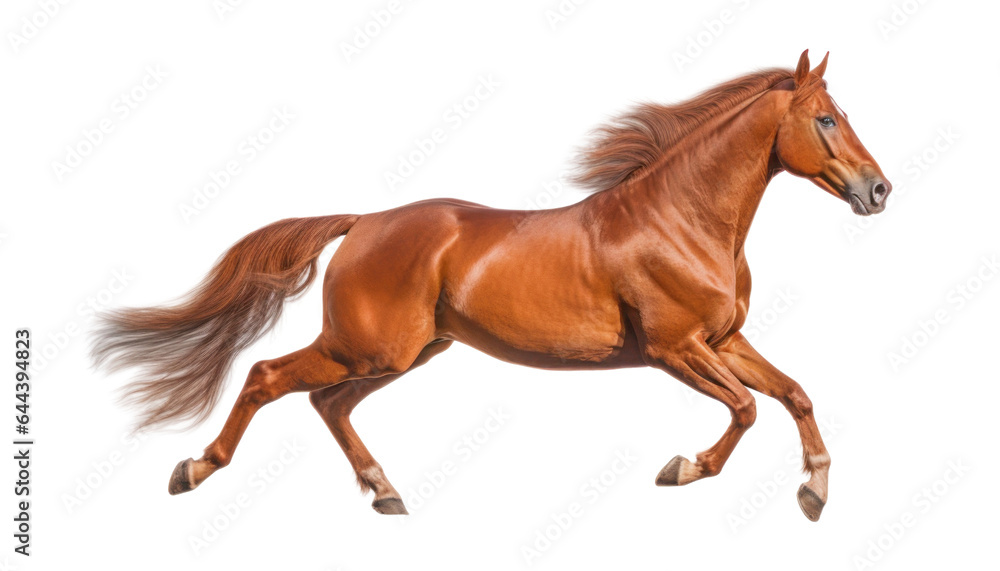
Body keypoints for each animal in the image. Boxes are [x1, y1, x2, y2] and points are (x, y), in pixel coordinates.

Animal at [91, 50, 891, 522]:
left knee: (326, 401)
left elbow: (793, 393)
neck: (682, 221)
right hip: (368, 347)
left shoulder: (725, 339)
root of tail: (362, 223)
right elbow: (747, 408)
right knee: (267, 376)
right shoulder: (675, 348)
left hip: (405, 353)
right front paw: (684, 468)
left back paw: (386, 492)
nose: (878, 189)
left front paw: (814, 491)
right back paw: (192, 470)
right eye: (826, 119)